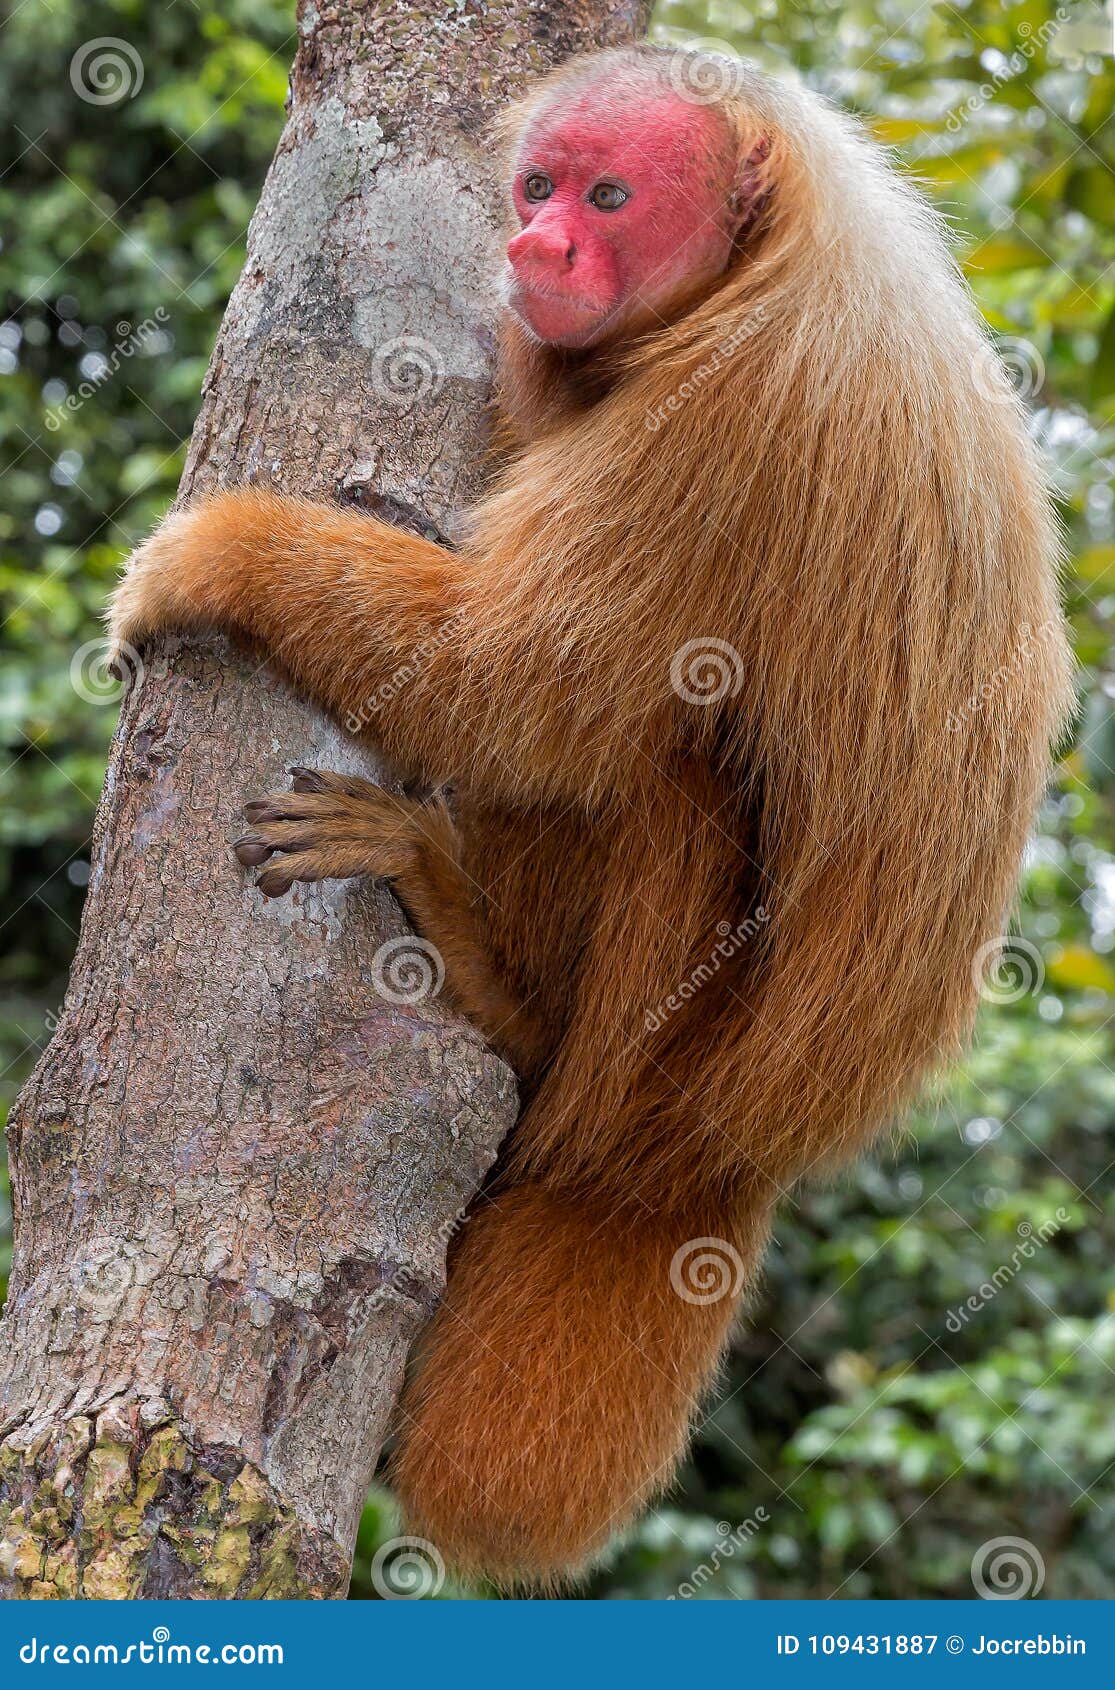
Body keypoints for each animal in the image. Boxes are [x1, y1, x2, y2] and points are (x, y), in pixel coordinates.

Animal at [108, 43, 1073, 1587]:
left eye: (607, 198)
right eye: (537, 187)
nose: (536, 251)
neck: (753, 262)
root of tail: (703, 1160)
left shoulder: (726, 415)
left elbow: (503, 684)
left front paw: (220, 552)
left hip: (634, 1044)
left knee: (644, 746)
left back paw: (485, 972)